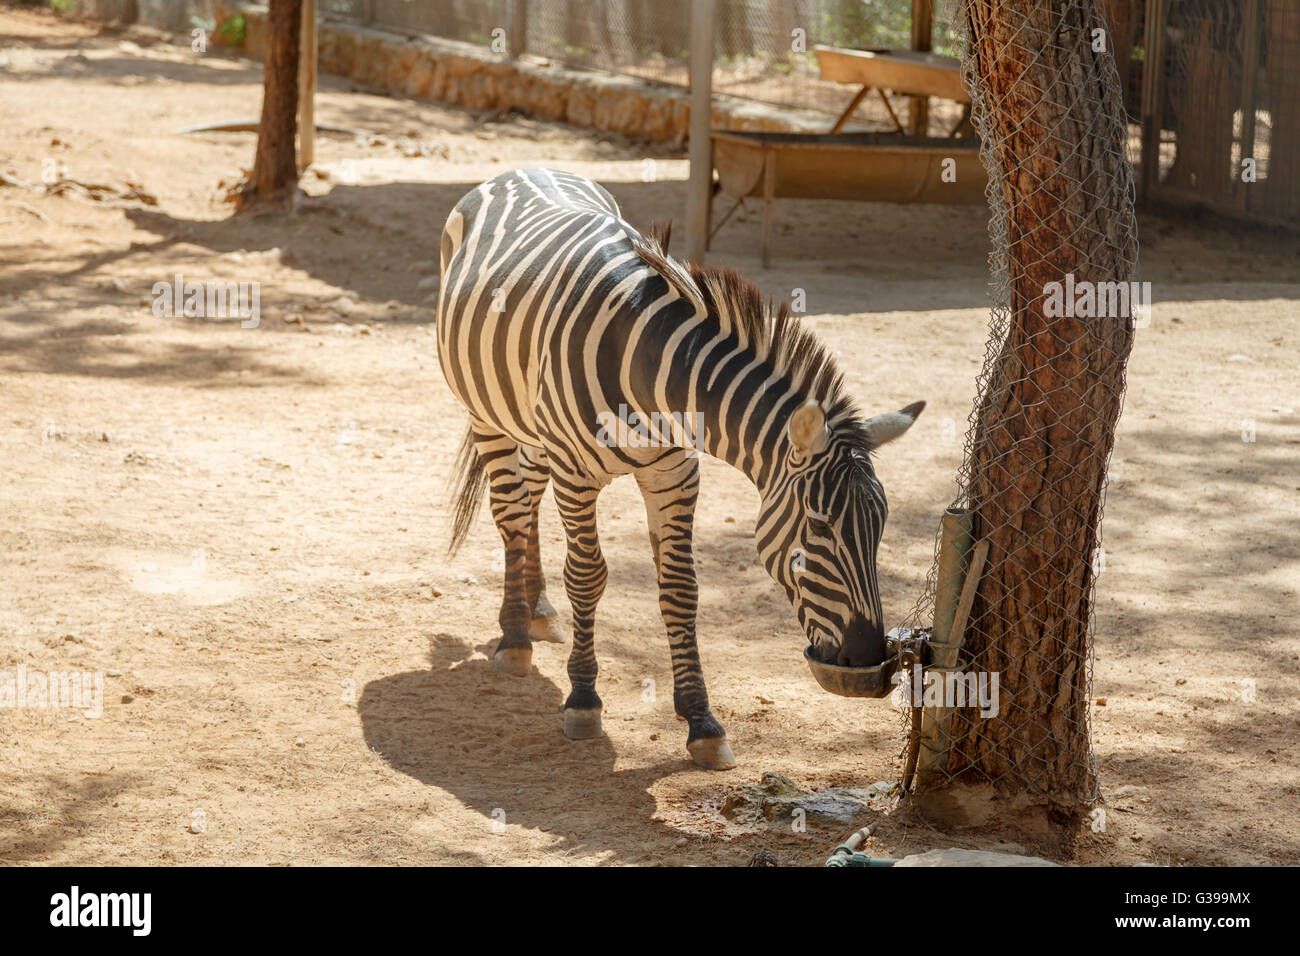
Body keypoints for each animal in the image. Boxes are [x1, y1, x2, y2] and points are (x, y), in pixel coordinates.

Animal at [437, 168, 923, 770]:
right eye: (819, 526)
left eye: (880, 528)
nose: (866, 659)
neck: (649, 370)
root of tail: (523, 168)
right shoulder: (577, 473)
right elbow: (588, 576)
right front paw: (583, 699)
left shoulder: (674, 473)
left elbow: (680, 588)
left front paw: (700, 720)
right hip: (487, 415)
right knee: (510, 514)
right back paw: (515, 637)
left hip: (534, 427)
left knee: (528, 501)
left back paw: (540, 610)